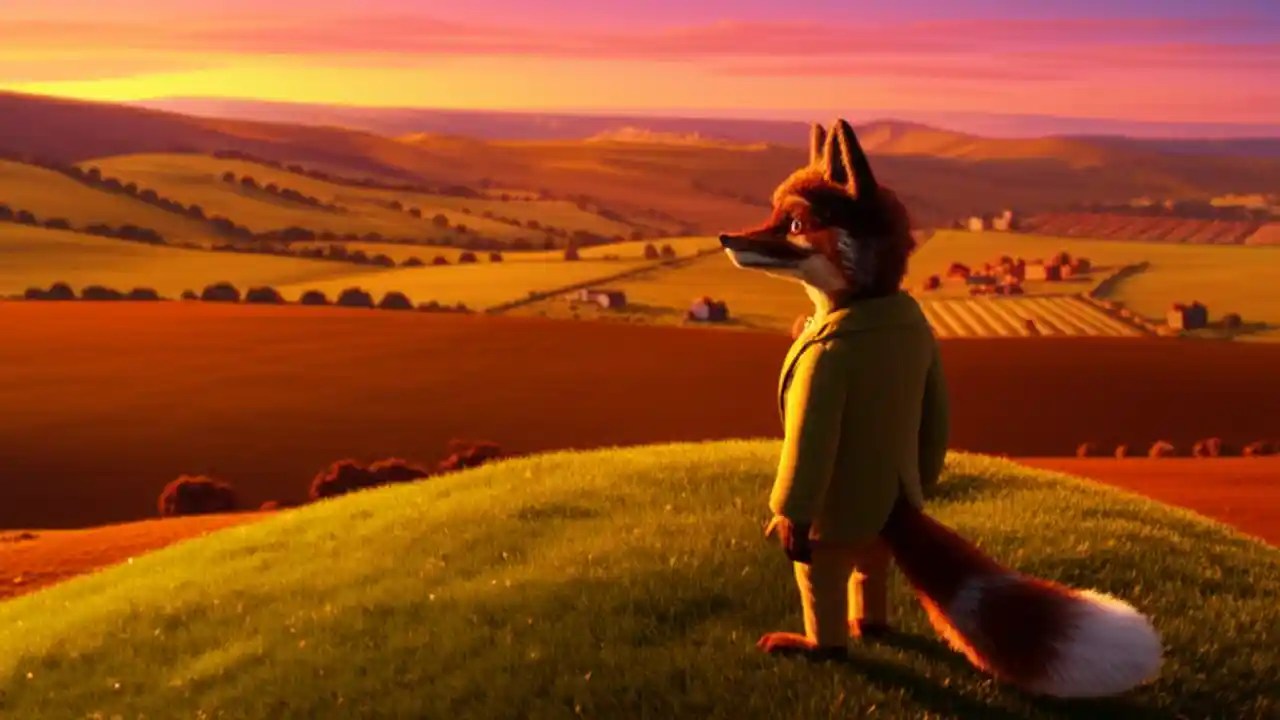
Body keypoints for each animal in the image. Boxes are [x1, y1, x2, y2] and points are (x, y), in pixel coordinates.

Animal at [719, 119, 1163, 699]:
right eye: (772, 215)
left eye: (794, 223)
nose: (726, 239)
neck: (866, 303)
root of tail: (895, 506)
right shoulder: (930, 363)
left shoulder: (823, 384)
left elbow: (800, 470)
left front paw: (782, 524)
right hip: (874, 519)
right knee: (872, 566)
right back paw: (869, 625)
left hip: (830, 529)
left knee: (823, 579)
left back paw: (821, 647)